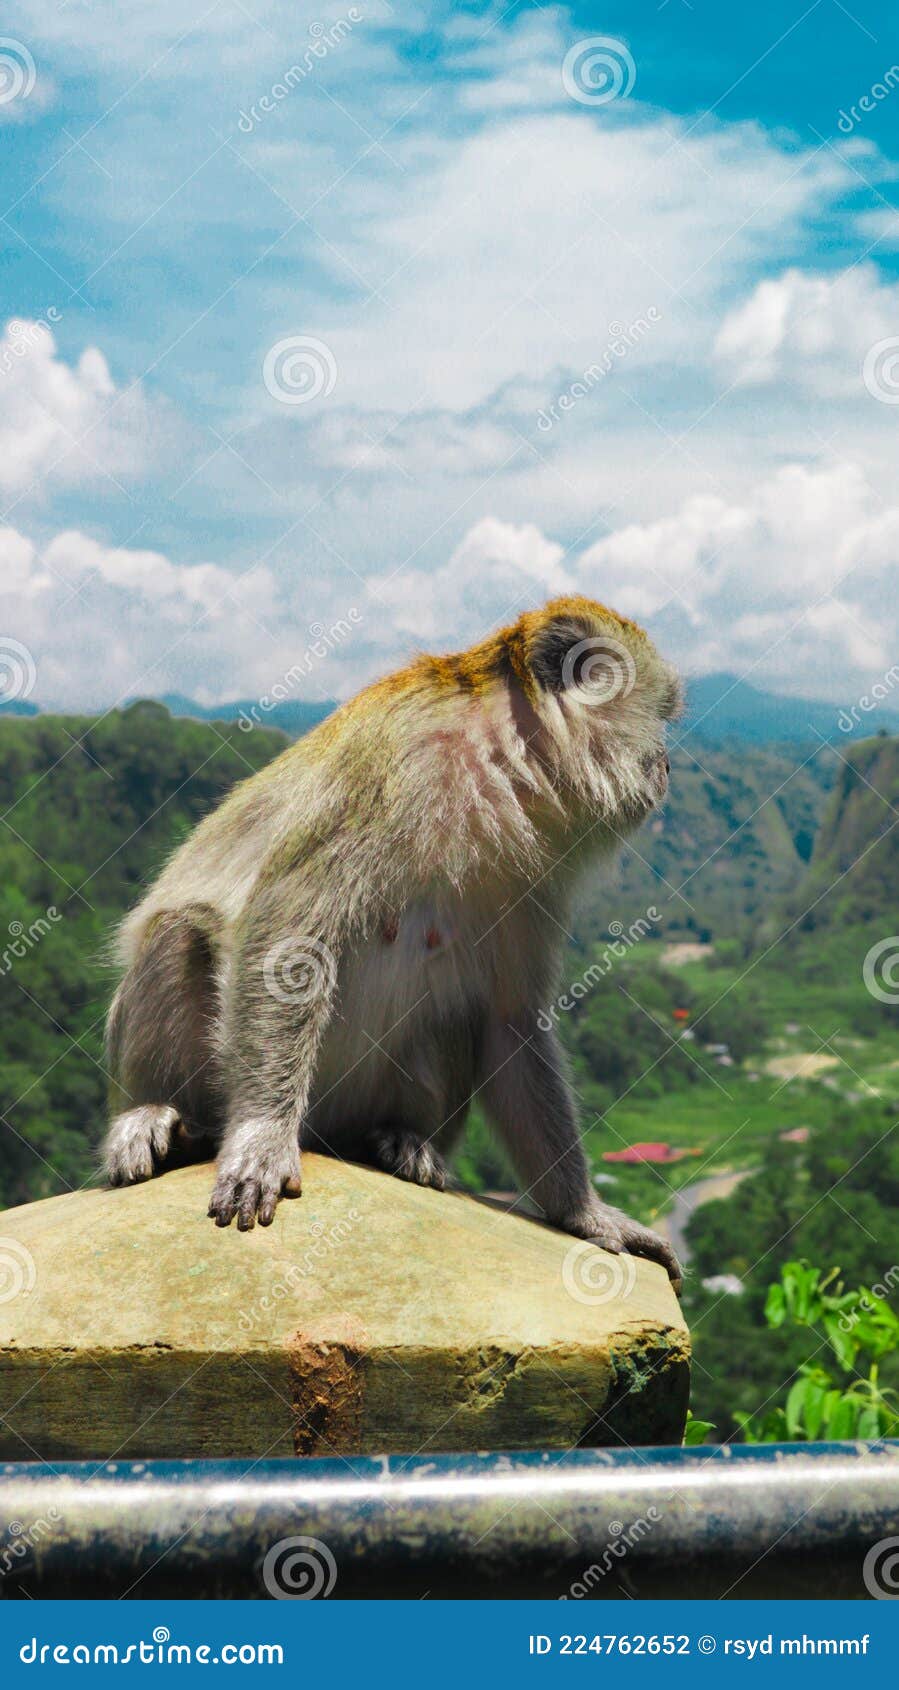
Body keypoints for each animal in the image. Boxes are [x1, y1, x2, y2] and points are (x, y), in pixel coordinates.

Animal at [104, 595, 683, 1285]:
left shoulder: (539, 864)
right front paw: (261, 1137)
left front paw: (584, 1212)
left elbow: (511, 1020)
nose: (668, 765)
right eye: (663, 717)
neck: (492, 762)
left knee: (461, 1011)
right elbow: (287, 940)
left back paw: (399, 1140)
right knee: (179, 933)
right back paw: (161, 1119)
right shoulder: (388, 770)